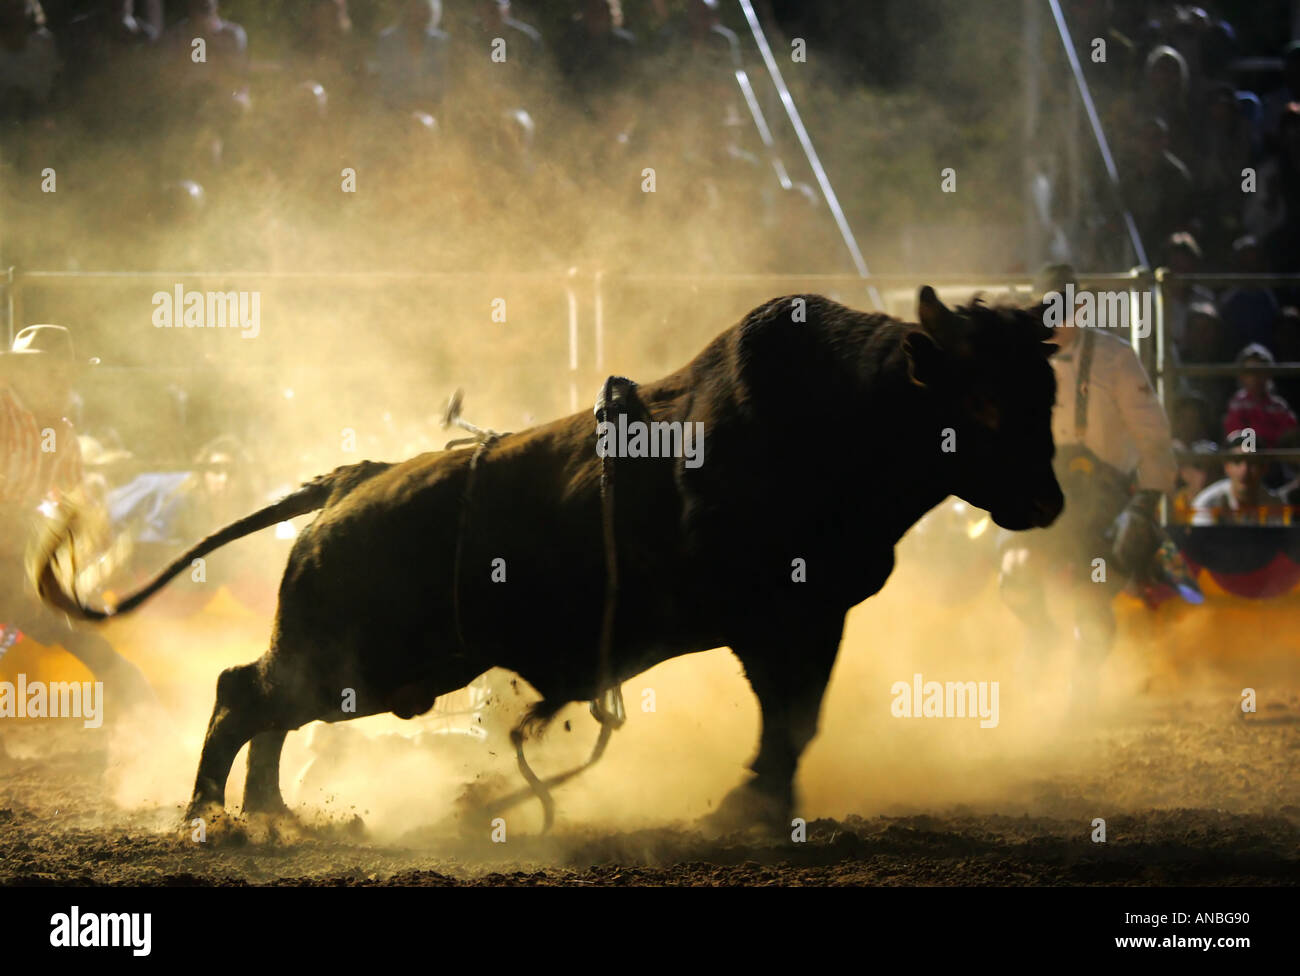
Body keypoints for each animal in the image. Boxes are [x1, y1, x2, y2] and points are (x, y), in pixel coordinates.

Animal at [33, 288, 1062, 833]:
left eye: (1044, 393)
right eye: (982, 399)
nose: (1048, 502)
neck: (840, 419)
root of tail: (348, 483)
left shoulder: (814, 618)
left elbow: (797, 720)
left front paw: (763, 804)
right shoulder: (774, 622)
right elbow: (787, 716)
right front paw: (749, 806)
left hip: (365, 668)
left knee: (263, 708)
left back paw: (272, 812)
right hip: (349, 659)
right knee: (240, 694)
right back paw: (215, 818)